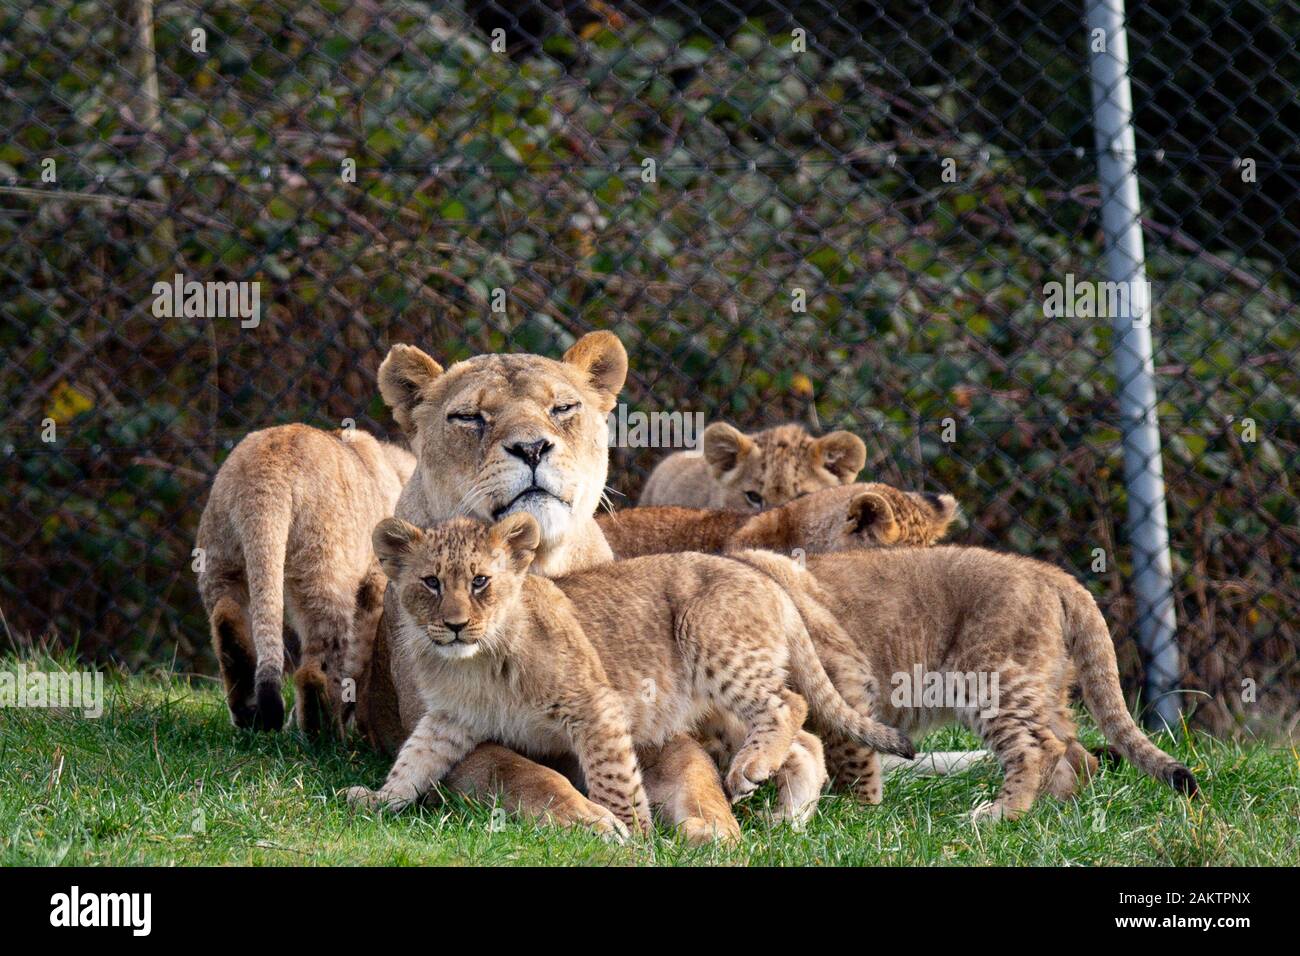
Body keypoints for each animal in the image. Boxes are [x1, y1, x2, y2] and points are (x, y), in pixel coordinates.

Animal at [196, 424, 414, 737]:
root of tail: (267, 472)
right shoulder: (374, 586)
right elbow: (357, 661)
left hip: (219, 558)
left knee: (226, 614)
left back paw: (249, 715)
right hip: (323, 570)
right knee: (316, 666)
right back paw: (323, 734)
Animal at [355, 332, 744, 843]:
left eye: (562, 408)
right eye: (469, 417)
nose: (533, 448)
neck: (536, 561)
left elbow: (692, 766)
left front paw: (713, 827)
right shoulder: (447, 720)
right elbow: (518, 772)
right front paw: (589, 818)